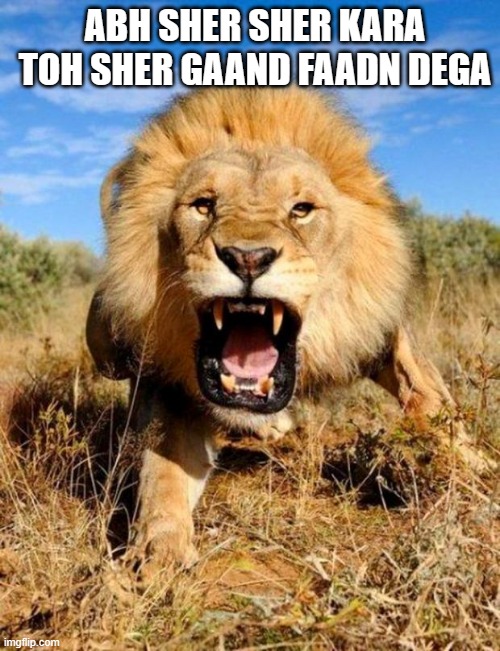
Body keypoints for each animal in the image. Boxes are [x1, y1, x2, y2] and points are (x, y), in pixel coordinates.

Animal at [86, 87, 483, 572]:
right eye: (203, 205)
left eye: (301, 210)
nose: (247, 257)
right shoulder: (169, 382)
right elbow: (163, 472)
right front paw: (156, 553)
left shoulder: (379, 329)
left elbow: (431, 398)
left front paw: (479, 468)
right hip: (107, 343)